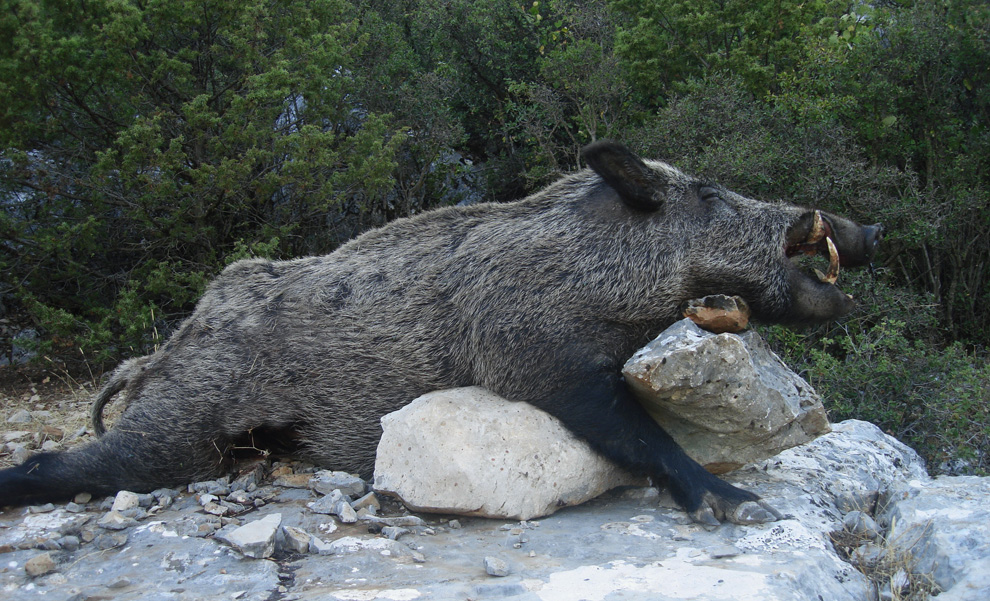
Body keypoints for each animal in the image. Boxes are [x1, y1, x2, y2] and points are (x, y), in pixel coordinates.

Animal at [0, 142, 882, 525]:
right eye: (706, 195)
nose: (864, 227)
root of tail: (170, 343)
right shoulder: (537, 354)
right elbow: (639, 435)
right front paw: (744, 506)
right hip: (183, 419)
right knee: (71, 462)